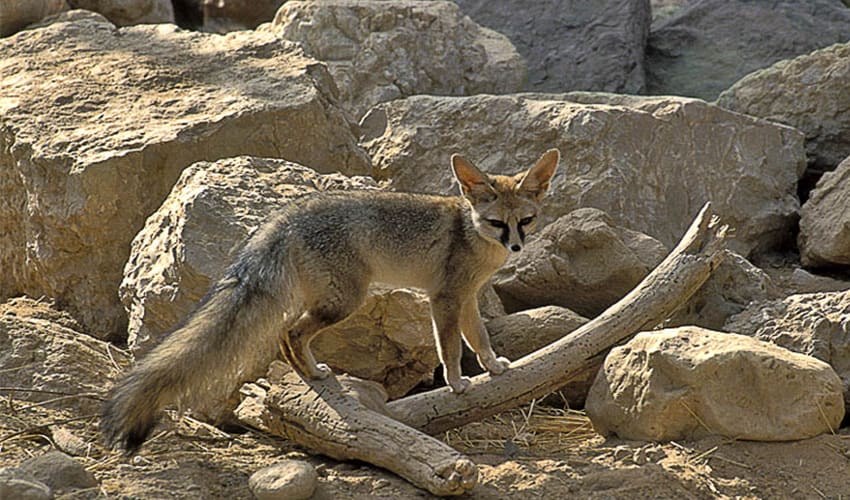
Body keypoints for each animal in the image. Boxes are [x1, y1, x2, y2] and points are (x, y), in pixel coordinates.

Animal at [101, 149, 560, 452]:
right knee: (289, 332)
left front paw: (494, 367)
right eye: (497, 223)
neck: (471, 232)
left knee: (286, 334)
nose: (516, 248)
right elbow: (449, 347)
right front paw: (457, 383)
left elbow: (479, 338)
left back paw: (310, 375)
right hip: (346, 302)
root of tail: (287, 216)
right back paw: (314, 374)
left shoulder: (467, 299)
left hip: (330, 300)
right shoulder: (444, 298)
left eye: (526, 220)